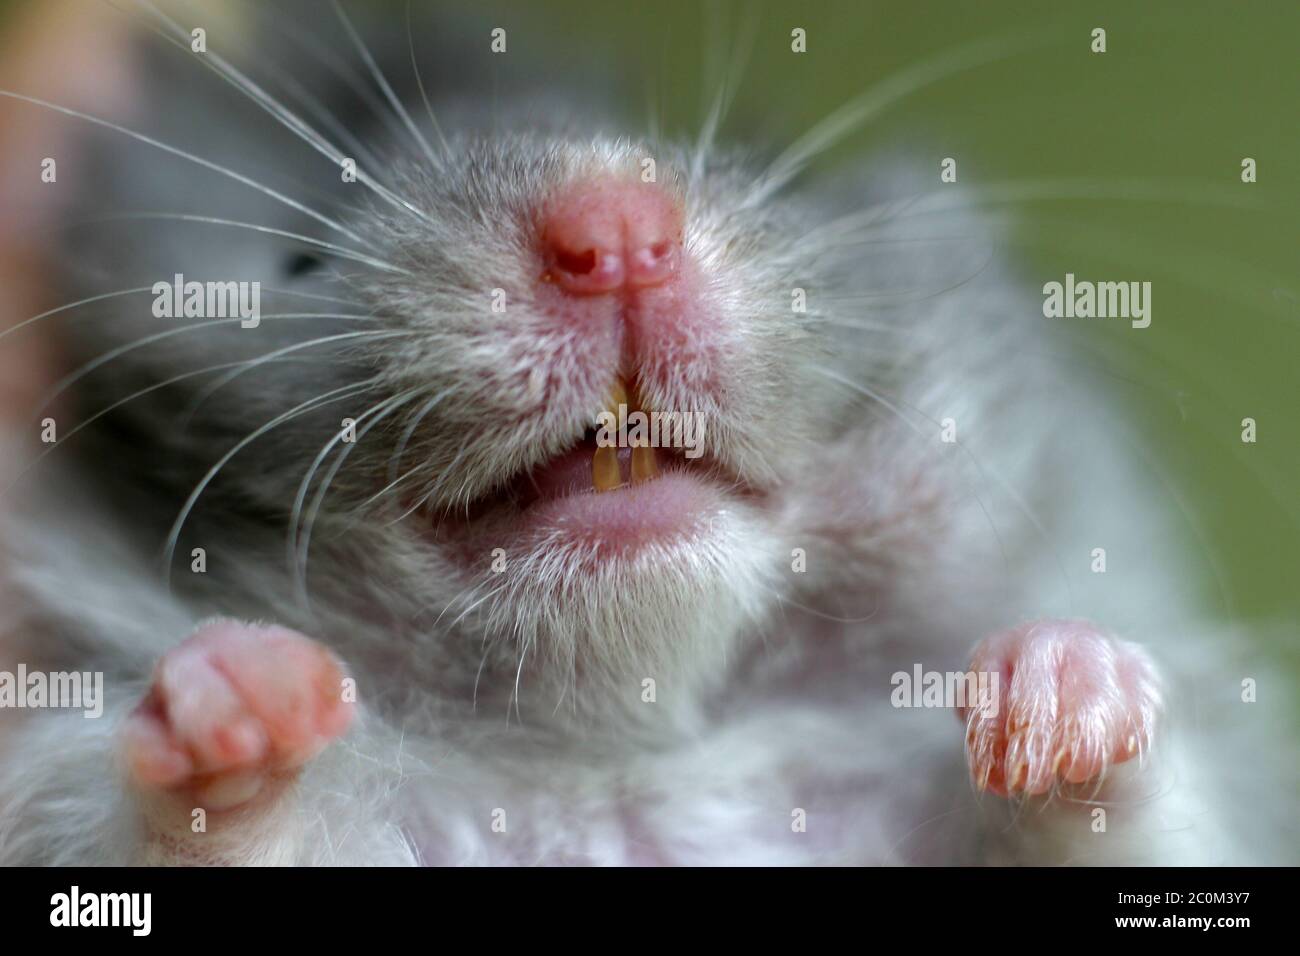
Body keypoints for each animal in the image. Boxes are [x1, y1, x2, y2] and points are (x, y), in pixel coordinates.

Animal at [0, 0, 1292, 865]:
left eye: (764, 170)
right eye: (301, 253)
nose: (614, 229)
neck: (609, 753)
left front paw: (1056, 685)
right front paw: (243, 687)